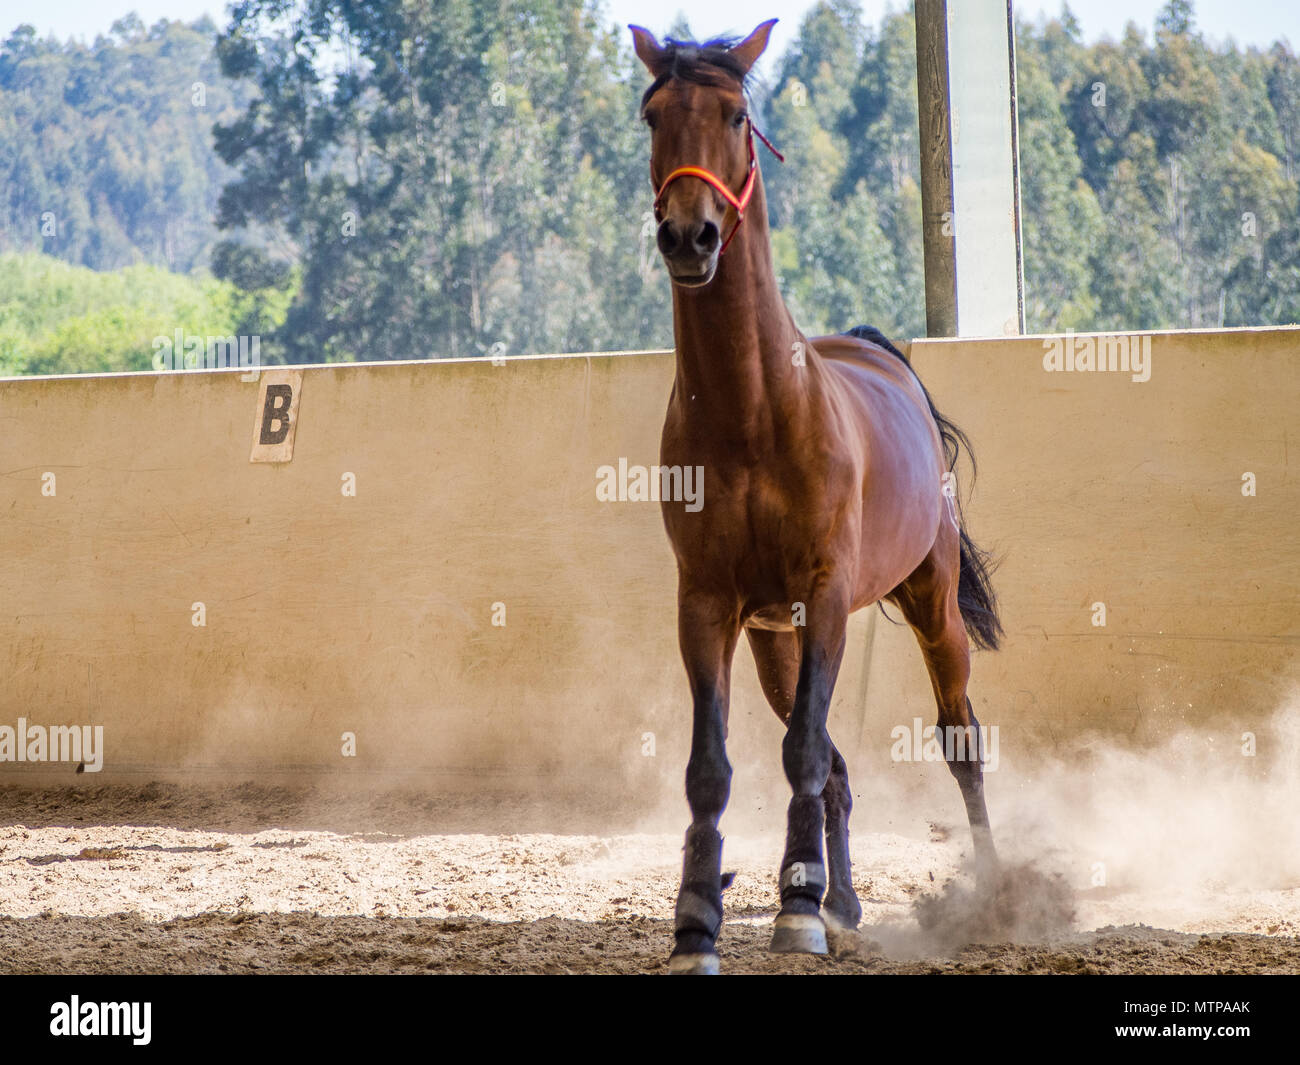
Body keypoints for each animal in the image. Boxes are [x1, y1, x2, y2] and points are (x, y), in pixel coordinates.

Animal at [630, 19, 1004, 975]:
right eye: (653, 116)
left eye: (737, 113)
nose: (689, 237)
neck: (752, 410)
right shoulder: (709, 606)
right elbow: (716, 765)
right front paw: (700, 924)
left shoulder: (826, 595)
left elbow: (803, 747)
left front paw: (793, 914)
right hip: (775, 645)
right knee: (835, 763)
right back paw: (837, 897)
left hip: (931, 605)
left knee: (959, 737)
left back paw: (988, 886)